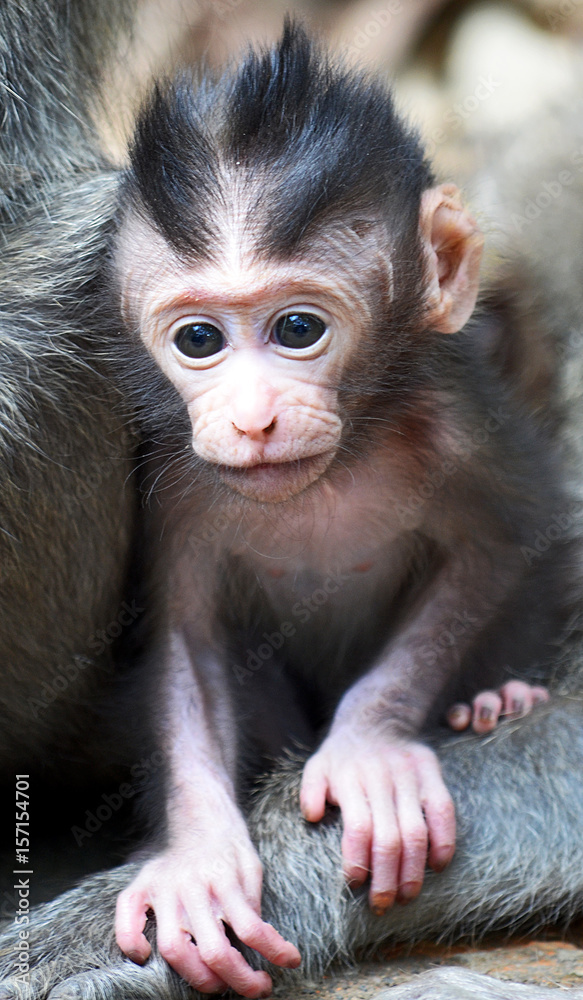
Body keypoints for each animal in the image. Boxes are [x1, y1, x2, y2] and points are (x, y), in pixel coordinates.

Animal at [2, 5, 583, 1000]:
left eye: (298, 329)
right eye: (198, 341)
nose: (254, 417)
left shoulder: (454, 432)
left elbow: (498, 547)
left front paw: (367, 754)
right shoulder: (182, 486)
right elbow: (187, 642)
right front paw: (195, 864)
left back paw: (494, 700)